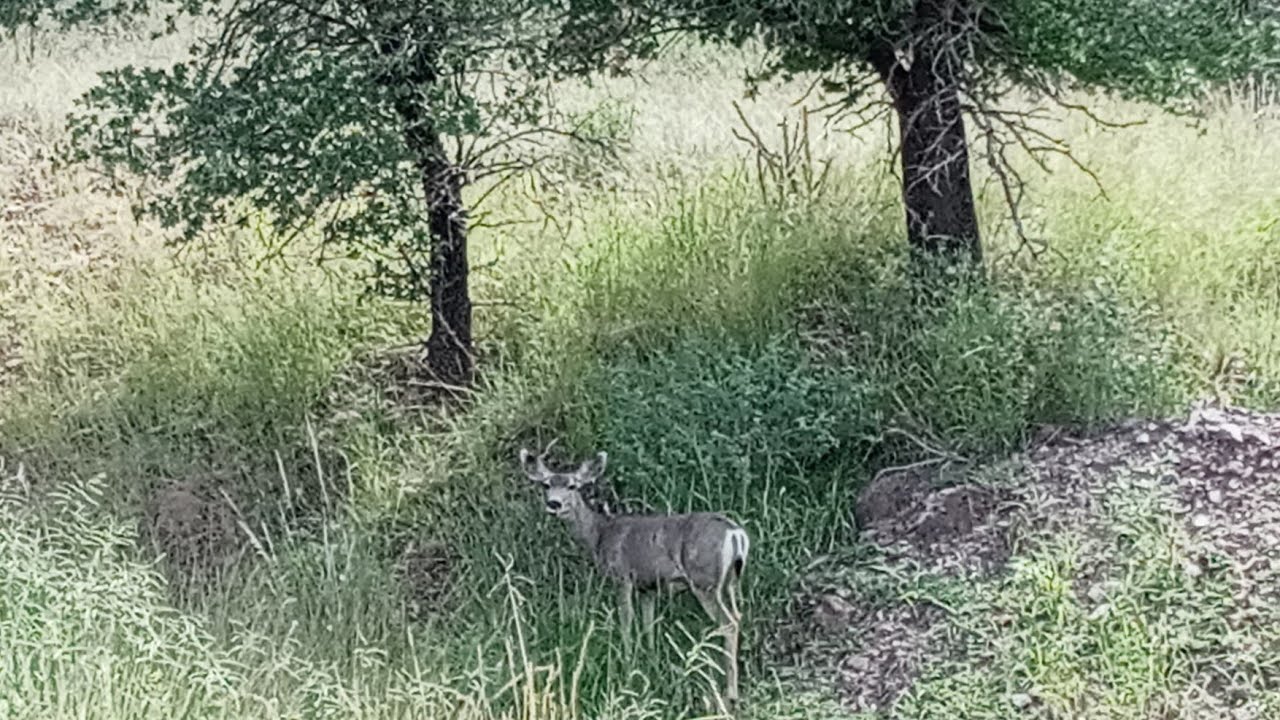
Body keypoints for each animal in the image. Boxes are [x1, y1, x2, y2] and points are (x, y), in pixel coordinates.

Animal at [518, 441, 751, 706]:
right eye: (546, 485)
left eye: (572, 485)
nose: (554, 504)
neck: (599, 534)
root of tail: (735, 533)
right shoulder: (647, 586)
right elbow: (647, 623)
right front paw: (649, 659)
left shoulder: (622, 576)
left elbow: (627, 620)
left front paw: (628, 661)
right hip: (729, 583)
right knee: (738, 615)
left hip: (704, 581)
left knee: (729, 623)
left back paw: (730, 693)